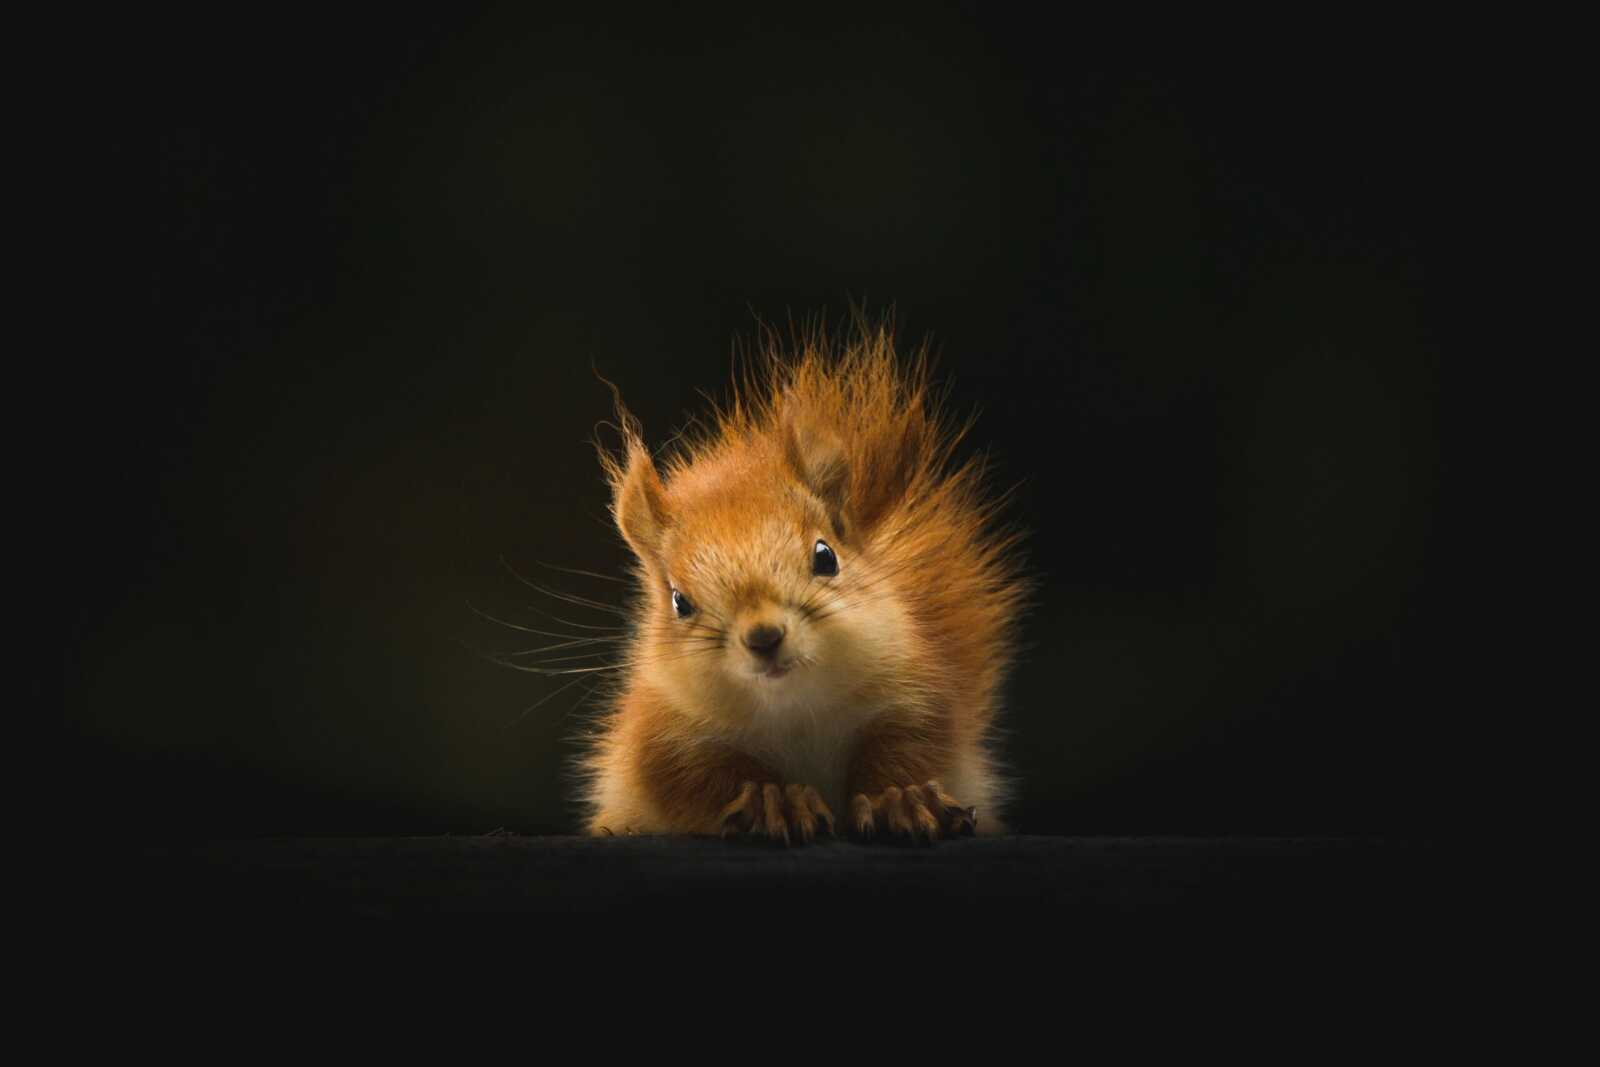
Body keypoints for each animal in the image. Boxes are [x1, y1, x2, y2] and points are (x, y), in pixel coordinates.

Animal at [576, 321, 1027, 843]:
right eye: (679, 602)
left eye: (826, 556)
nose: (763, 636)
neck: (794, 709)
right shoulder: (663, 736)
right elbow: (699, 778)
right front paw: (775, 800)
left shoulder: (914, 693)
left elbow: (910, 747)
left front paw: (901, 798)